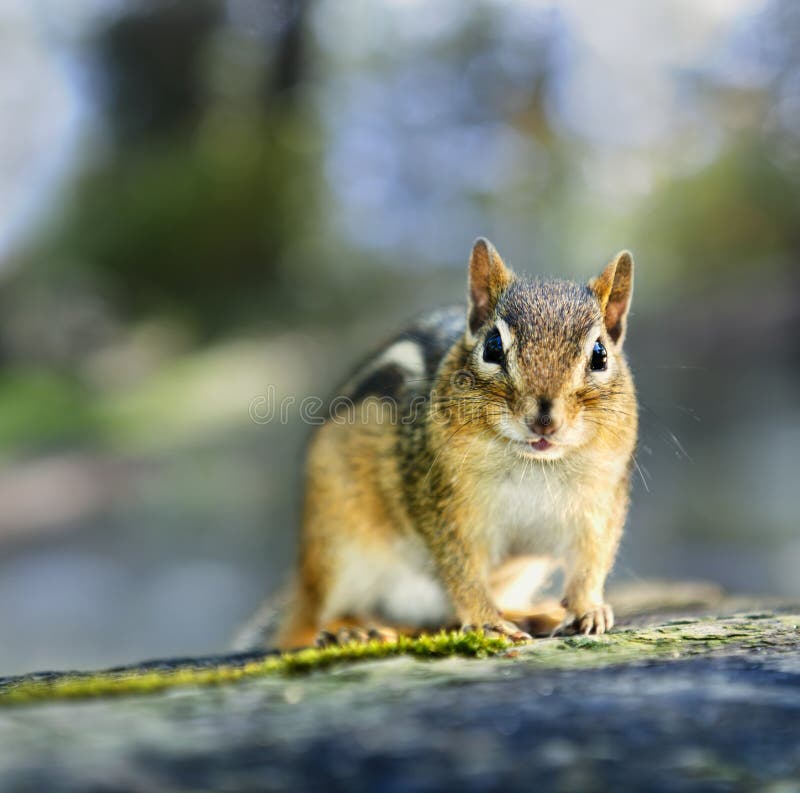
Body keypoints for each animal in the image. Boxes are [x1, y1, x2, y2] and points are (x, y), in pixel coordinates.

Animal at [237, 238, 637, 650]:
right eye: (493, 347)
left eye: (599, 354)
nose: (544, 420)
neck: (534, 465)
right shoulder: (445, 508)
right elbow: (462, 573)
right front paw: (486, 622)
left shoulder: (599, 508)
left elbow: (591, 564)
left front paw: (588, 609)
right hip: (341, 547)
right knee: (327, 615)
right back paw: (355, 628)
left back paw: (531, 613)